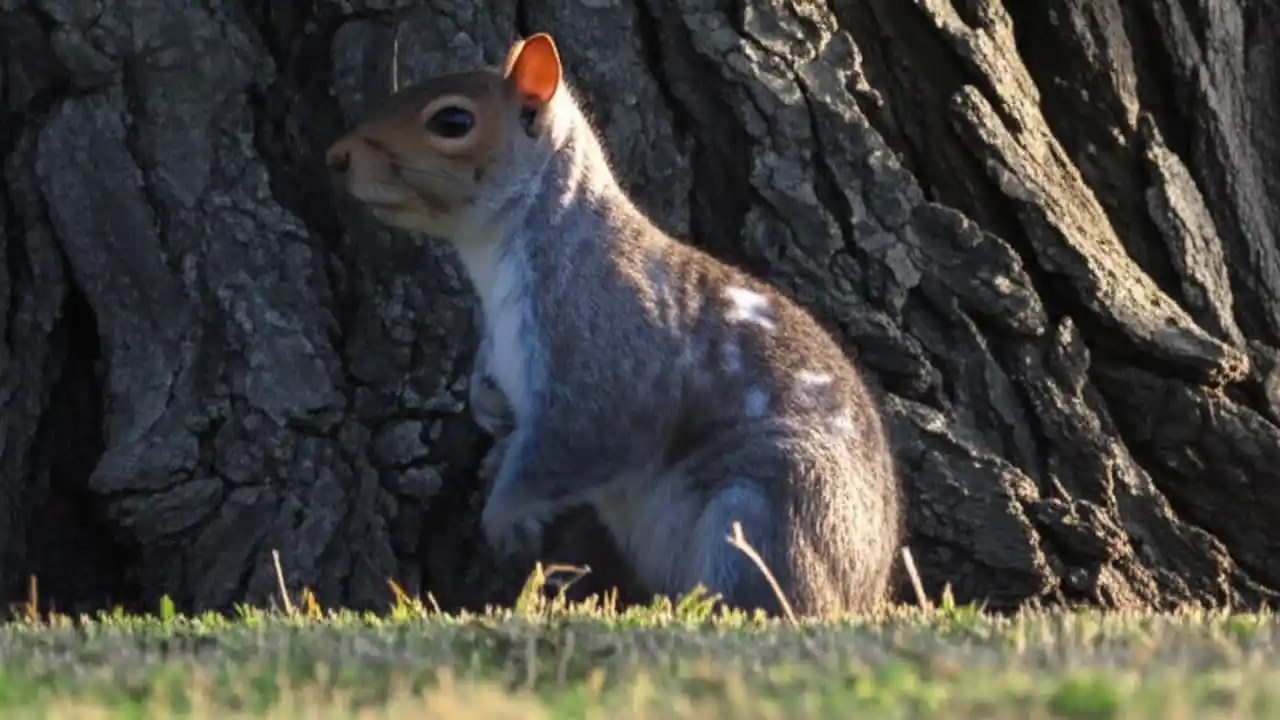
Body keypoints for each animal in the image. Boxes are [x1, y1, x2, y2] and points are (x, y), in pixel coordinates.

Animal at [325, 33, 904, 617]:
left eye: (452, 122)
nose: (337, 158)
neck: (497, 260)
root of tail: (866, 593)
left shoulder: (607, 350)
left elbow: (577, 443)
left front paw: (504, 516)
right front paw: (487, 404)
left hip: (769, 510)